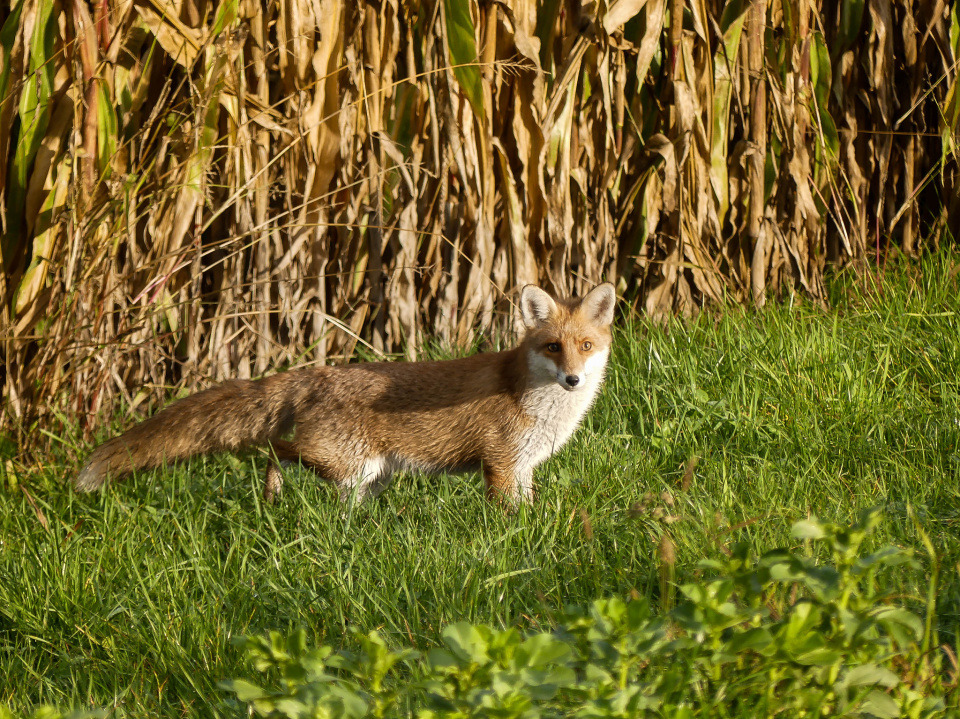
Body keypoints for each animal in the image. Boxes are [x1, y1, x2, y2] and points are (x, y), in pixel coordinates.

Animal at [76, 283, 616, 504]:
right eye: (553, 347)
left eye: (585, 347)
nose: (573, 379)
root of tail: (316, 373)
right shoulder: (501, 463)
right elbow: (509, 517)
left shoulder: (522, 468)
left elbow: (531, 510)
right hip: (345, 462)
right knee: (275, 448)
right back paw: (271, 492)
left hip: (366, 477)